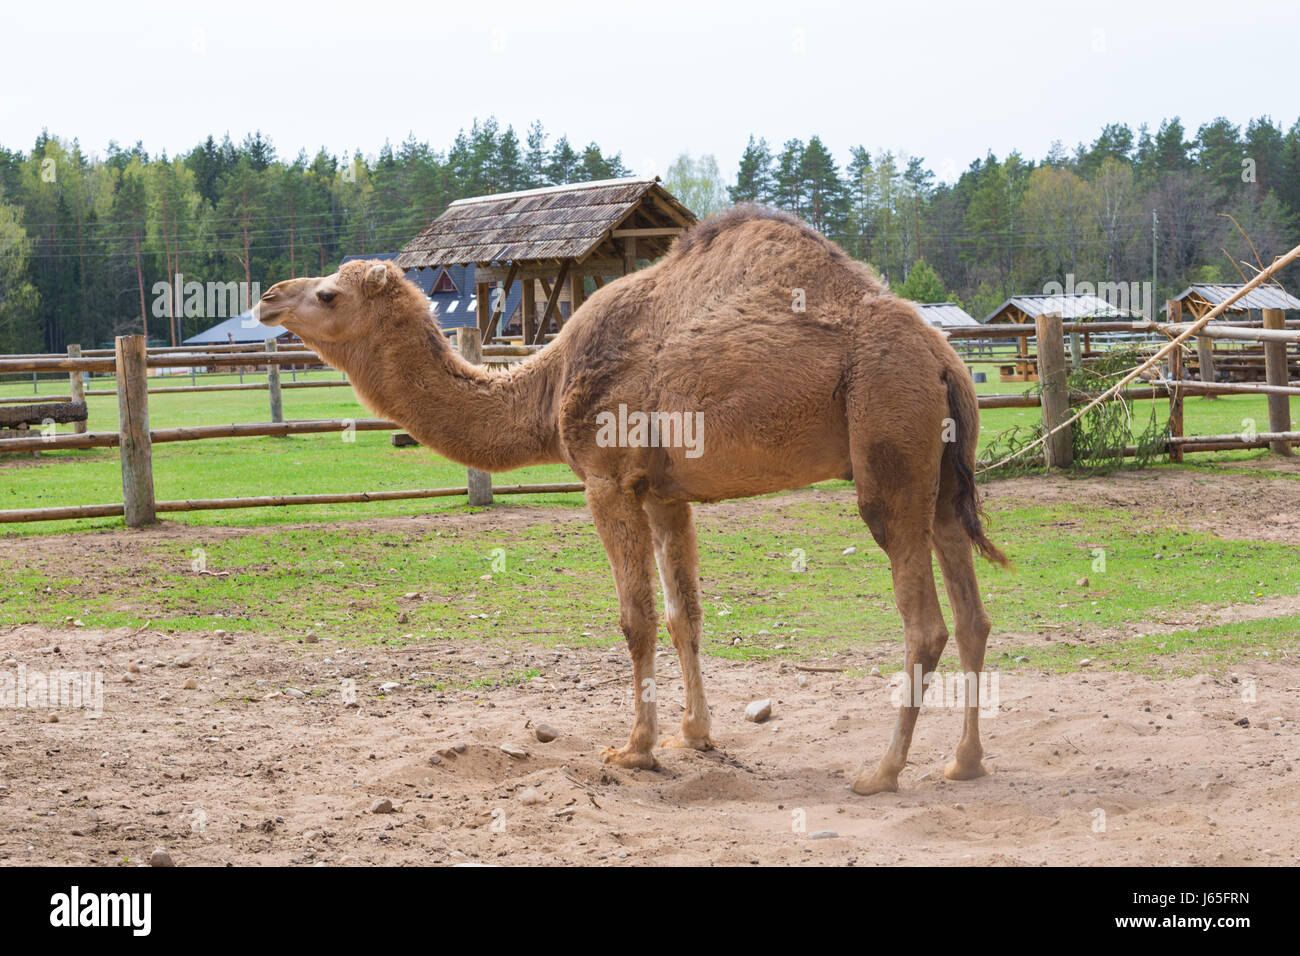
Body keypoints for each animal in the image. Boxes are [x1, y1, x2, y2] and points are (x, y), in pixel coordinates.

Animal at [253, 205, 1008, 794]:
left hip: (888, 445)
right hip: (941, 473)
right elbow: (684, 614)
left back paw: (881, 772)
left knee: (925, 621)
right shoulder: (666, 493)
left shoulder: (607, 479)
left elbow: (635, 618)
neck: (547, 383)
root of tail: (945, 359)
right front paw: (693, 736)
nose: (268, 295)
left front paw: (634, 749)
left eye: (328, 294)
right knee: (973, 614)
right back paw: (963, 763)